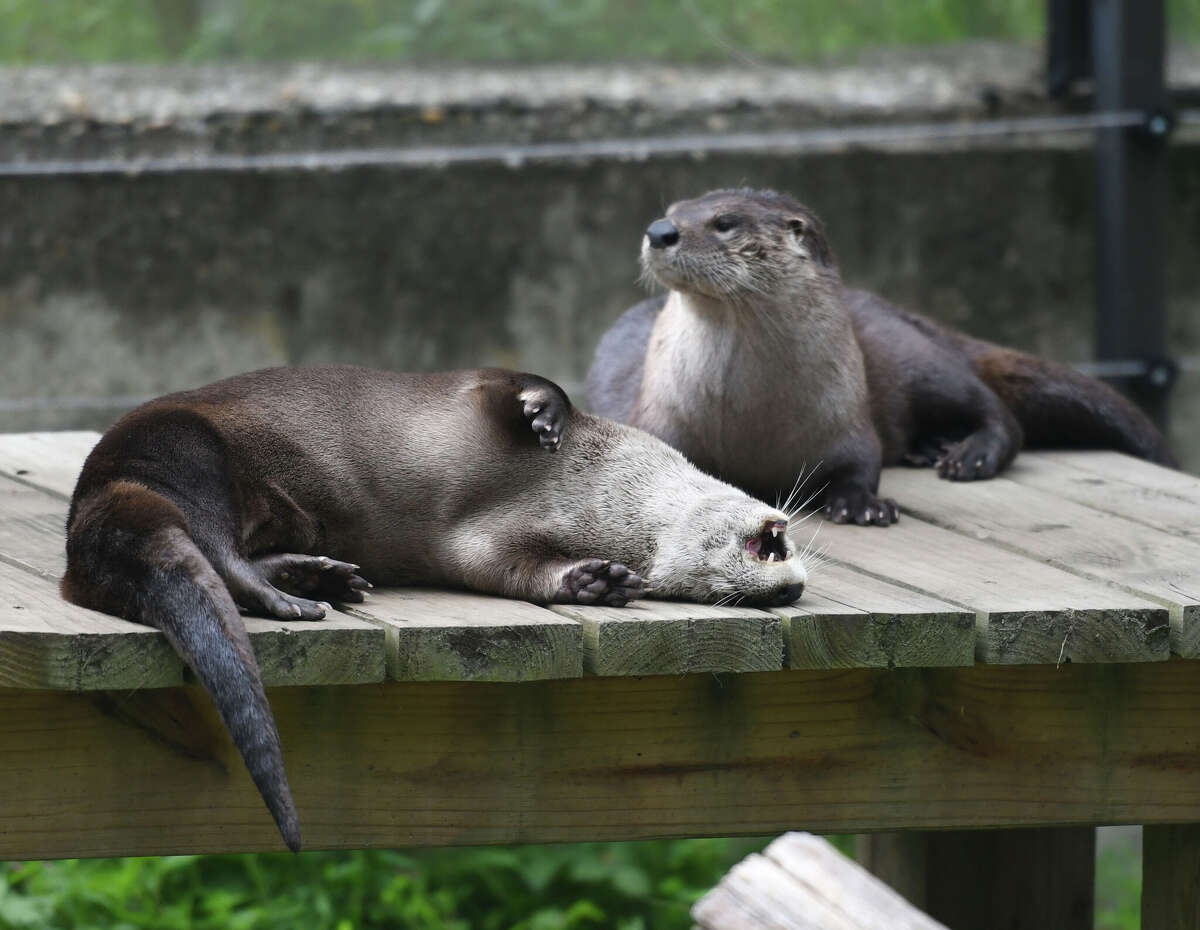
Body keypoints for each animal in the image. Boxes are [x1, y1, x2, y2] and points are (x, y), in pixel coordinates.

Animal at [63, 365, 807, 850]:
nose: (791, 590)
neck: (589, 491)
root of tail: (91, 500)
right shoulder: (473, 397)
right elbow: (516, 381)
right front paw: (545, 414)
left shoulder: (476, 545)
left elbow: (512, 570)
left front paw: (594, 580)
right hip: (185, 446)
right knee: (212, 544)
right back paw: (293, 595)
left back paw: (316, 579)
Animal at [587, 188, 1175, 526]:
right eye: (669, 213)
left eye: (725, 222)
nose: (659, 231)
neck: (753, 417)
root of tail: (899, 310)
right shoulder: (659, 418)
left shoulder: (846, 418)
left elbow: (861, 464)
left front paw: (861, 504)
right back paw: (929, 448)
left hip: (919, 362)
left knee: (999, 414)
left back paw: (967, 455)